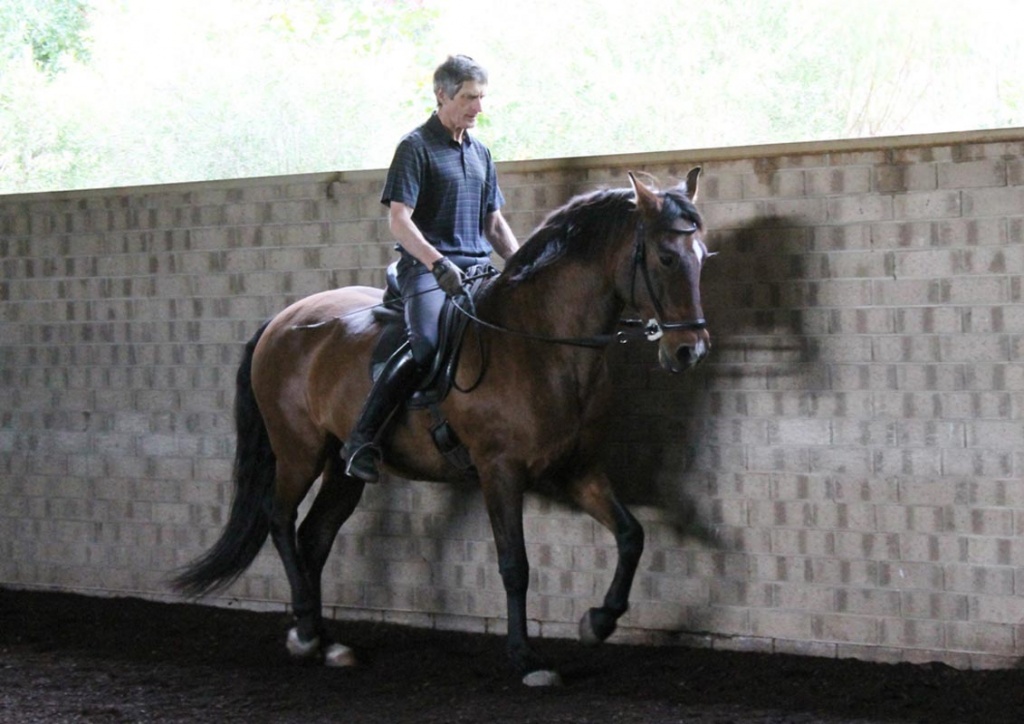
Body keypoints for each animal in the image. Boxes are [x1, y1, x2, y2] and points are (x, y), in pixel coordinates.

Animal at [173, 169, 712, 687]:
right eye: (666, 258)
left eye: (702, 257)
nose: (690, 351)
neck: (541, 342)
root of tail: (282, 321)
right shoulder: (500, 470)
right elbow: (515, 565)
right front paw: (526, 659)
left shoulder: (578, 468)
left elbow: (631, 534)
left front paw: (597, 622)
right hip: (298, 451)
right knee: (281, 521)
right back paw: (305, 634)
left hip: (340, 467)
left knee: (315, 535)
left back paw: (328, 643)